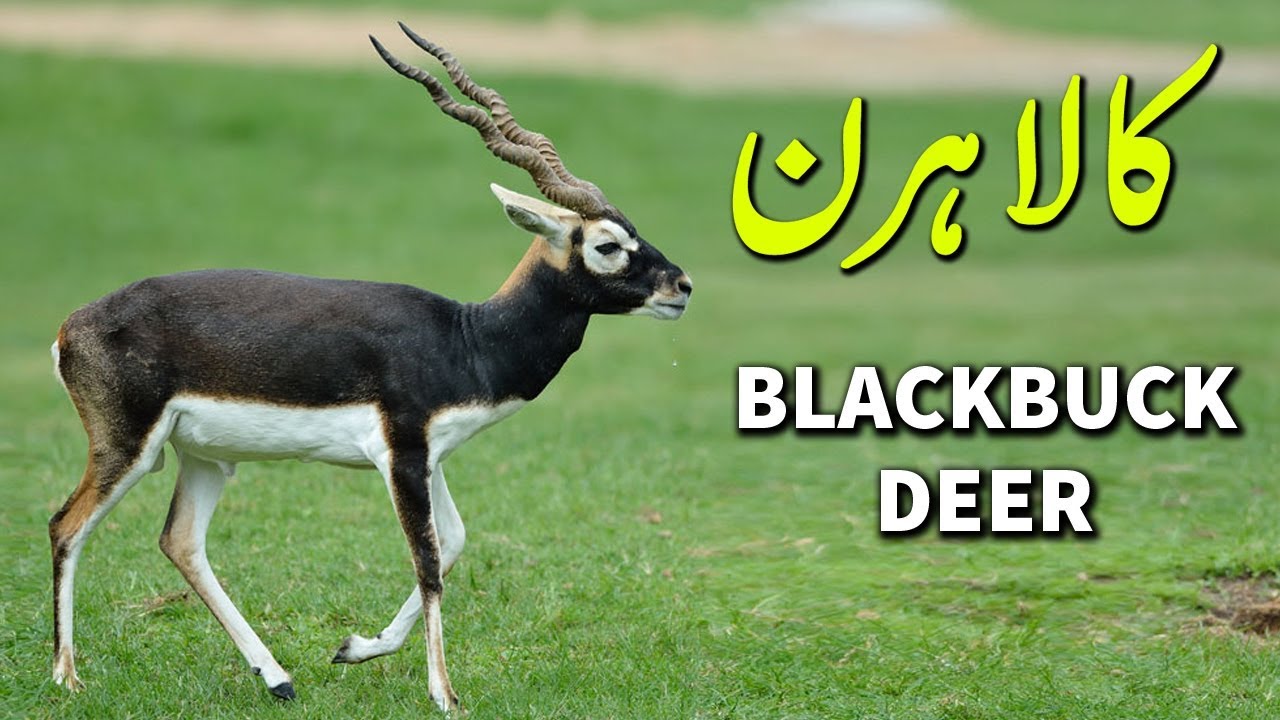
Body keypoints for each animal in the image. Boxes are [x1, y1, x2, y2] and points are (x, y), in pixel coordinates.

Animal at [47, 24, 691, 713]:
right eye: (607, 244)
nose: (680, 286)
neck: (466, 339)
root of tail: (73, 324)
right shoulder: (400, 455)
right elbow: (429, 564)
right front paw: (445, 694)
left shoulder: (429, 458)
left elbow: (454, 542)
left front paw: (356, 648)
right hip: (128, 448)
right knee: (67, 526)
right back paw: (66, 675)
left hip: (205, 457)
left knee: (180, 541)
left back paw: (277, 678)